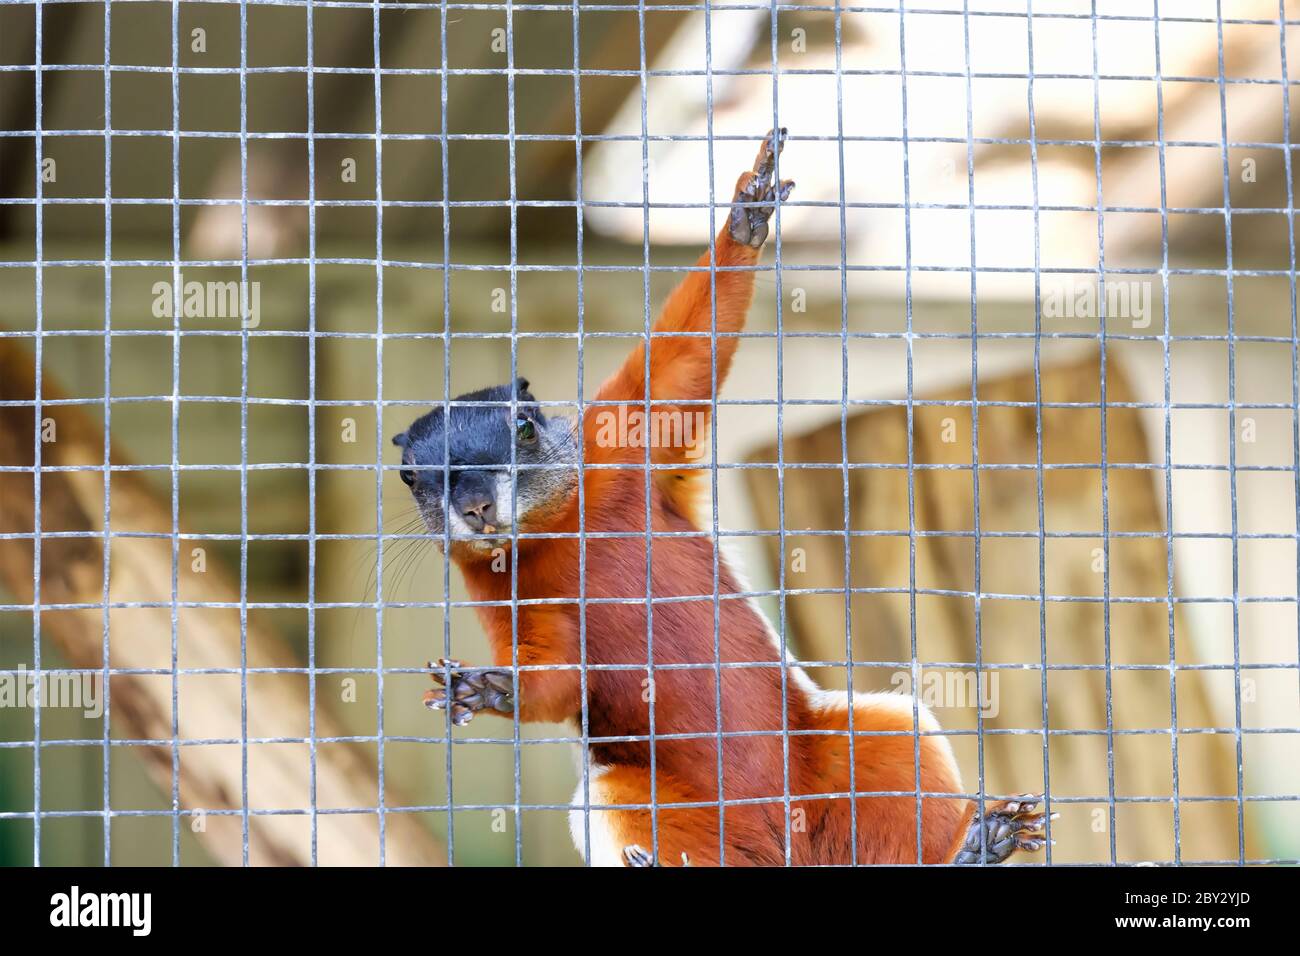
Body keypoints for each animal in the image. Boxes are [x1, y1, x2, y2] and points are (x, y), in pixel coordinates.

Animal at [392, 129, 1051, 866]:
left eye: (525, 429)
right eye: (414, 477)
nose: (477, 508)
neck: (554, 529)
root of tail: (784, 847)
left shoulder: (622, 450)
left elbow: (680, 364)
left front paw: (748, 211)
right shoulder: (497, 591)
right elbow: (553, 674)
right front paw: (491, 687)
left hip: (855, 749)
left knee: (894, 752)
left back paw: (975, 844)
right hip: (646, 800)